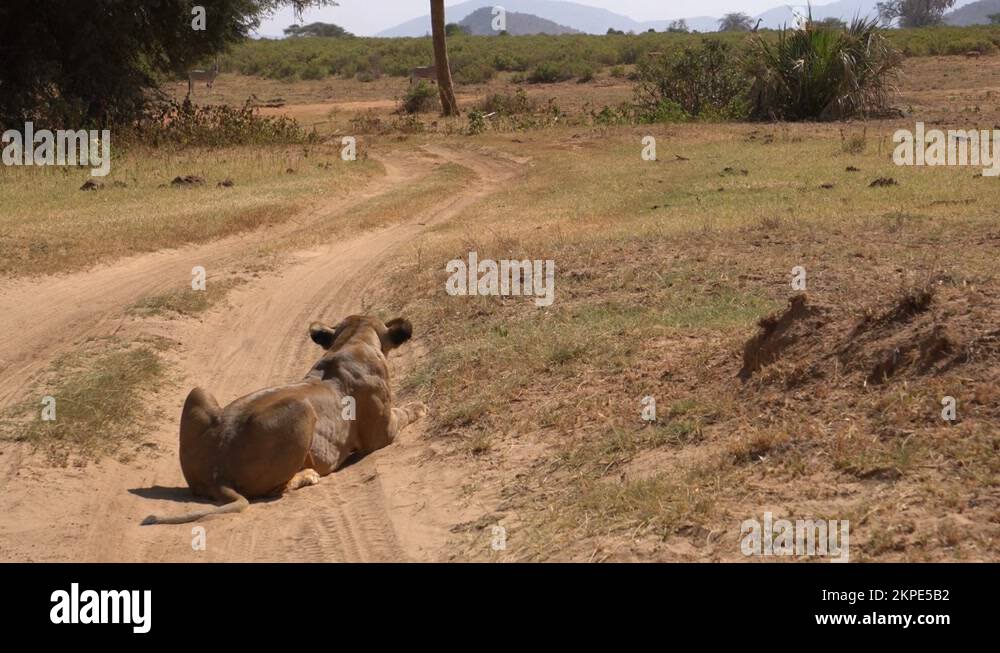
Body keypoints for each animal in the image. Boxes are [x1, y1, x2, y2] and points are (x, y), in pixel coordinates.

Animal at [141, 316, 427, 525]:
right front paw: (421, 407)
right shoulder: (381, 433)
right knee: (275, 489)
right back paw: (308, 475)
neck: (352, 340)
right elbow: (404, 413)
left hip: (197, 392)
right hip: (300, 408)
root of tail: (217, 474)